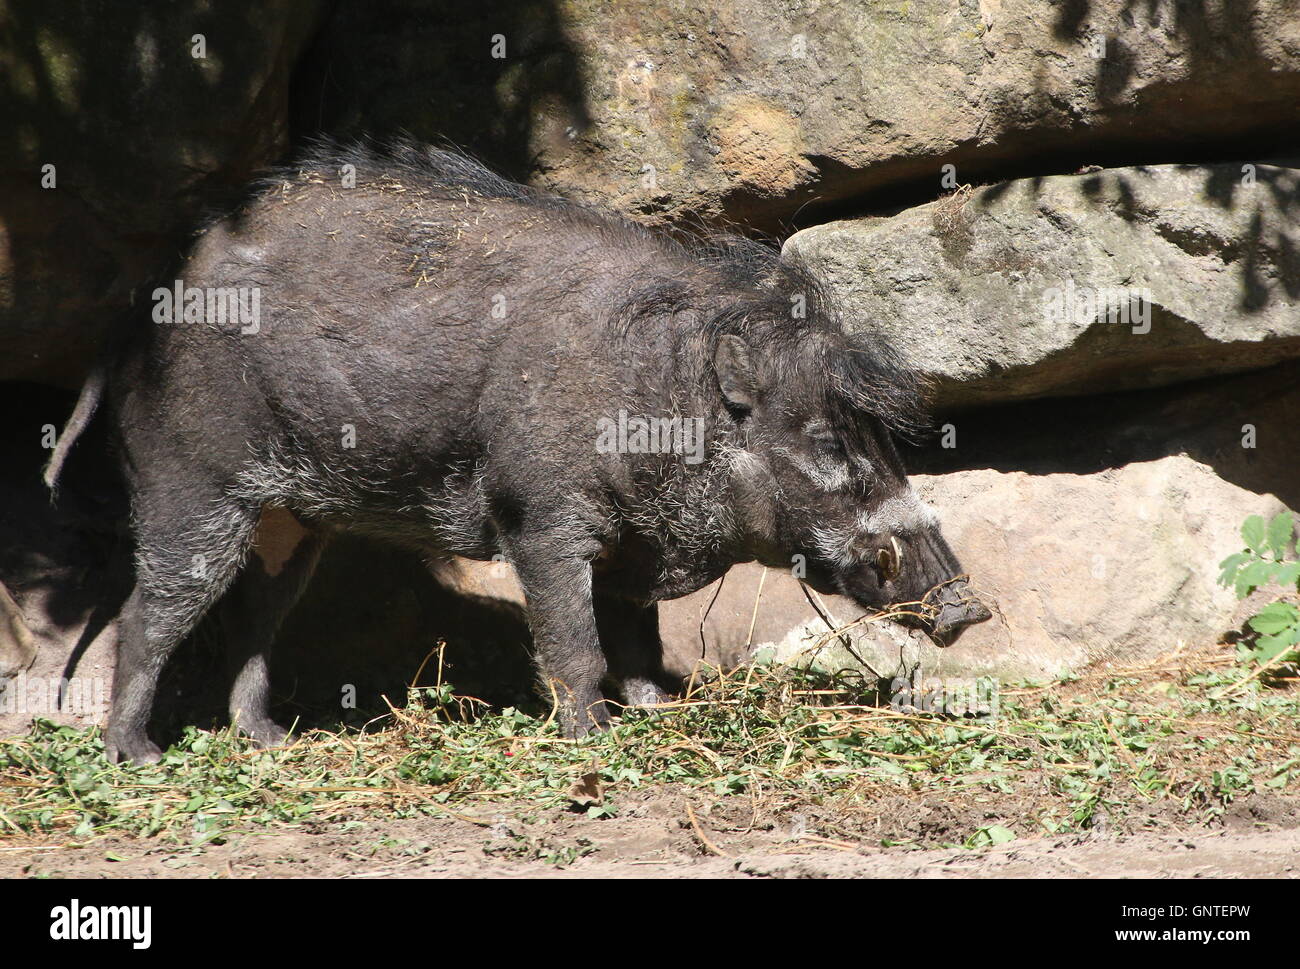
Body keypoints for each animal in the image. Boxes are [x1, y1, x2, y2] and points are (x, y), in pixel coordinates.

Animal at [45, 139, 991, 764]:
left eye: (875, 435)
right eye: (827, 438)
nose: (970, 607)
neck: (662, 400)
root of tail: (133, 321)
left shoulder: (635, 550)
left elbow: (636, 638)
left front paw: (658, 710)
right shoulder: (539, 516)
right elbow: (575, 638)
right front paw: (593, 735)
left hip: (291, 523)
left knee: (255, 617)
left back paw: (272, 741)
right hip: (191, 484)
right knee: (151, 610)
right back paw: (137, 754)